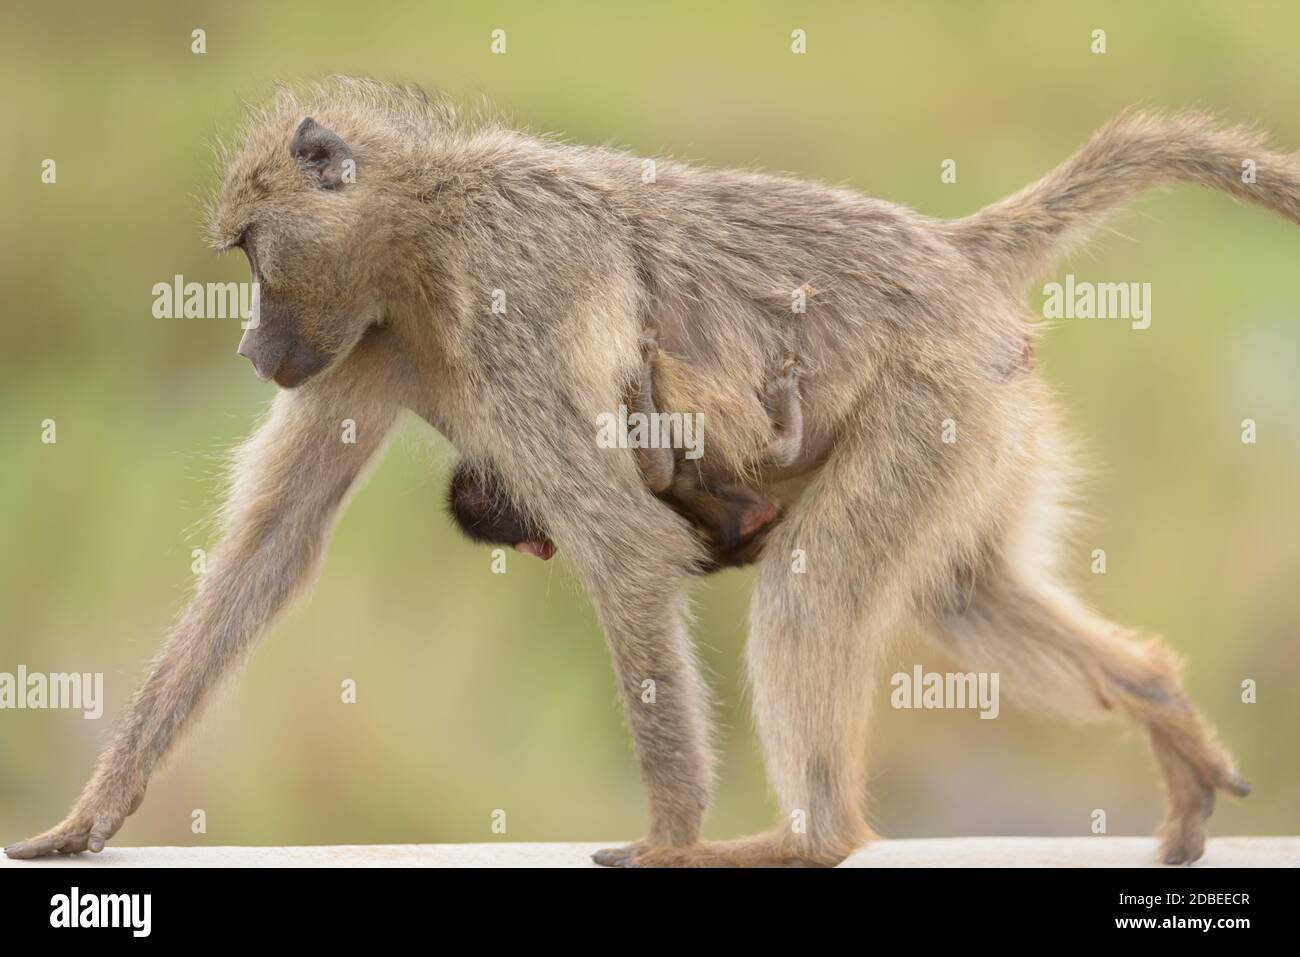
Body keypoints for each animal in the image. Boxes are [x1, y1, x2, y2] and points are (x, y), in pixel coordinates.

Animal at [8, 79, 1296, 868]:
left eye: (246, 249)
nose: (247, 348)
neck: (422, 227)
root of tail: (949, 247)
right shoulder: (364, 343)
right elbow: (266, 555)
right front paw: (89, 817)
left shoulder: (503, 296)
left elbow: (624, 542)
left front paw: (669, 835)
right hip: (984, 419)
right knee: (961, 592)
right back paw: (1156, 704)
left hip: (940, 395)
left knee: (815, 588)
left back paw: (805, 838)